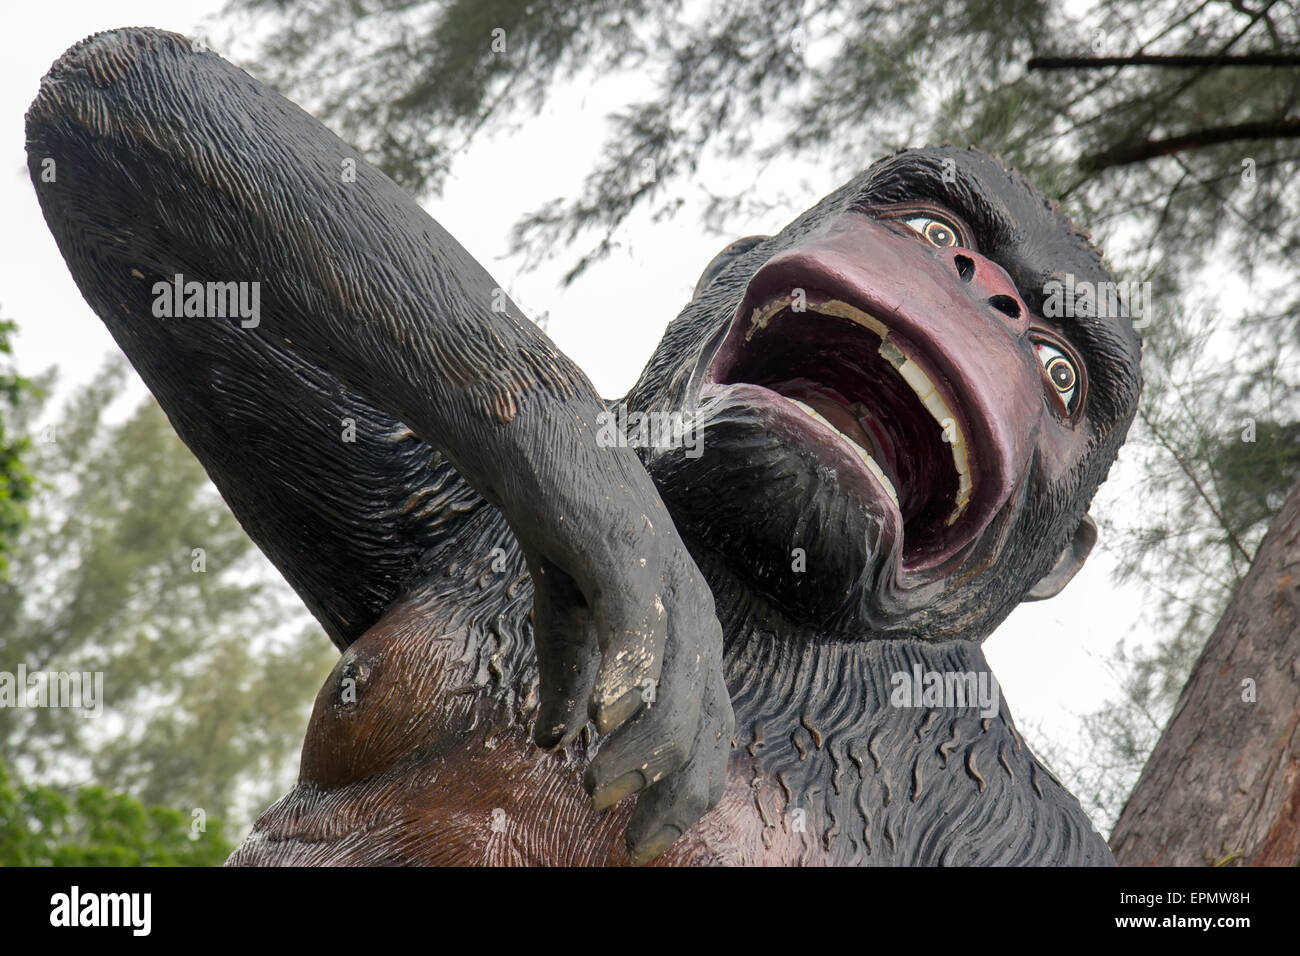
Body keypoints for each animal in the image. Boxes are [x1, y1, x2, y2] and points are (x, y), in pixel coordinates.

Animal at [27, 28, 1139, 865]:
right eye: (927, 224)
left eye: (1060, 372)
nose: (979, 288)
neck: (760, 596)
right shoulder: (433, 508)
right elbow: (112, 100)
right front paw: (602, 502)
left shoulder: (1033, 828)